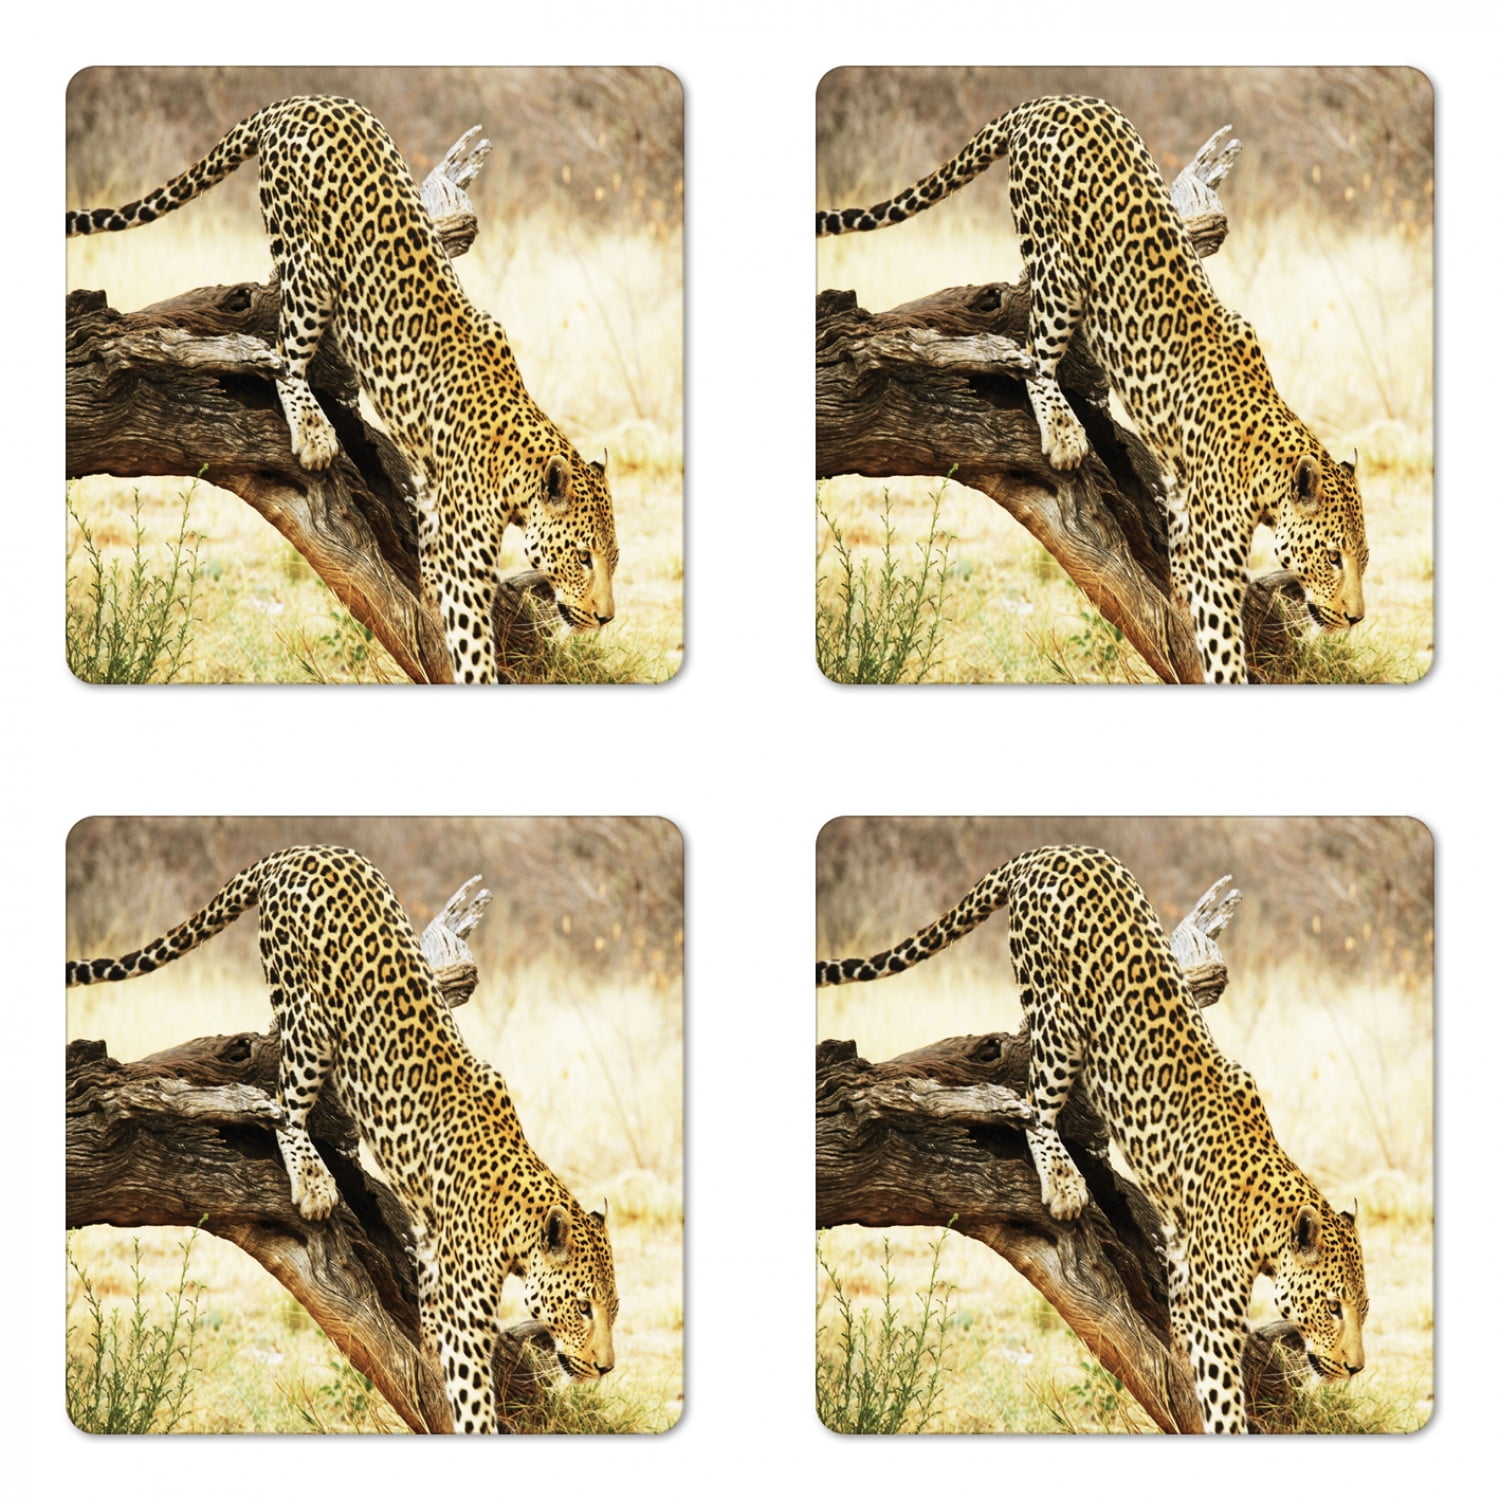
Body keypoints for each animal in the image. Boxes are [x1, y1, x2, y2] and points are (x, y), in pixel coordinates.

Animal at [67, 843, 619, 1433]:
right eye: (583, 1307)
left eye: (614, 1308)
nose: (606, 1367)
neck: (514, 1217)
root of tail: (297, 850)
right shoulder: (463, 1310)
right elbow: (471, 1396)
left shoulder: (434, 1256)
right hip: (307, 1020)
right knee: (284, 1102)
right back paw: (313, 1182)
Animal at [68, 95, 619, 683]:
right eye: (583, 557)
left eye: (614, 558)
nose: (606, 617)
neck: (514, 467)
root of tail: (296, 101)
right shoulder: (463, 560)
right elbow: (471, 646)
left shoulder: (434, 506)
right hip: (307, 270)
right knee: (283, 352)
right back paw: (313, 432)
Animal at [817, 843, 1368, 1433]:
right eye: (1333, 1307)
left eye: (1364, 1308)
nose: (1356, 1368)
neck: (1265, 1217)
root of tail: (1047, 850)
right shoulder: (1213, 1310)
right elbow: (1221, 1395)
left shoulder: (1184, 1256)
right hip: (1057, 1020)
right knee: (1033, 1102)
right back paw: (1062, 1182)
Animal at [818, 95, 1369, 683]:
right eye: (1333, 557)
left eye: (1364, 558)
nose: (1356, 617)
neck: (1264, 467)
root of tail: (1046, 101)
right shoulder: (1213, 561)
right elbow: (1221, 646)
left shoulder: (1184, 505)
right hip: (1057, 270)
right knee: (1033, 352)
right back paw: (1063, 432)